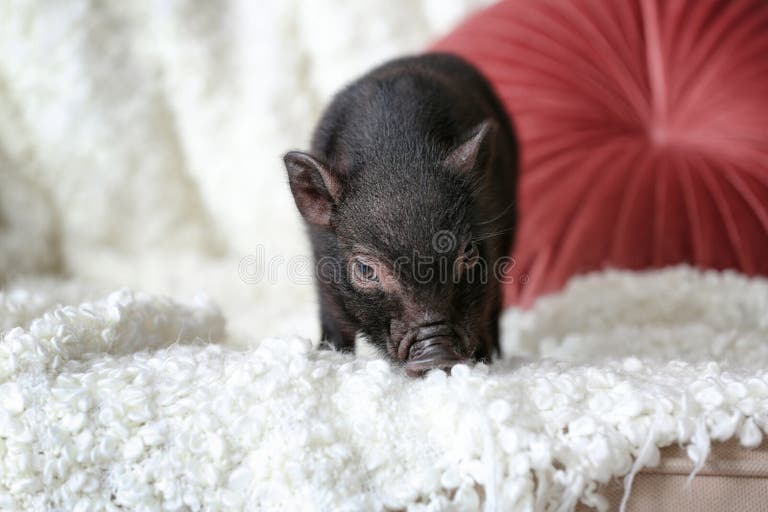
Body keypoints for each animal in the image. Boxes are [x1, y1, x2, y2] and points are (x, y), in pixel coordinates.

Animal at [283, 53, 518, 376]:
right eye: (365, 270)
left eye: (469, 252)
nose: (438, 355)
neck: (394, 151)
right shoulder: (324, 279)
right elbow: (335, 327)